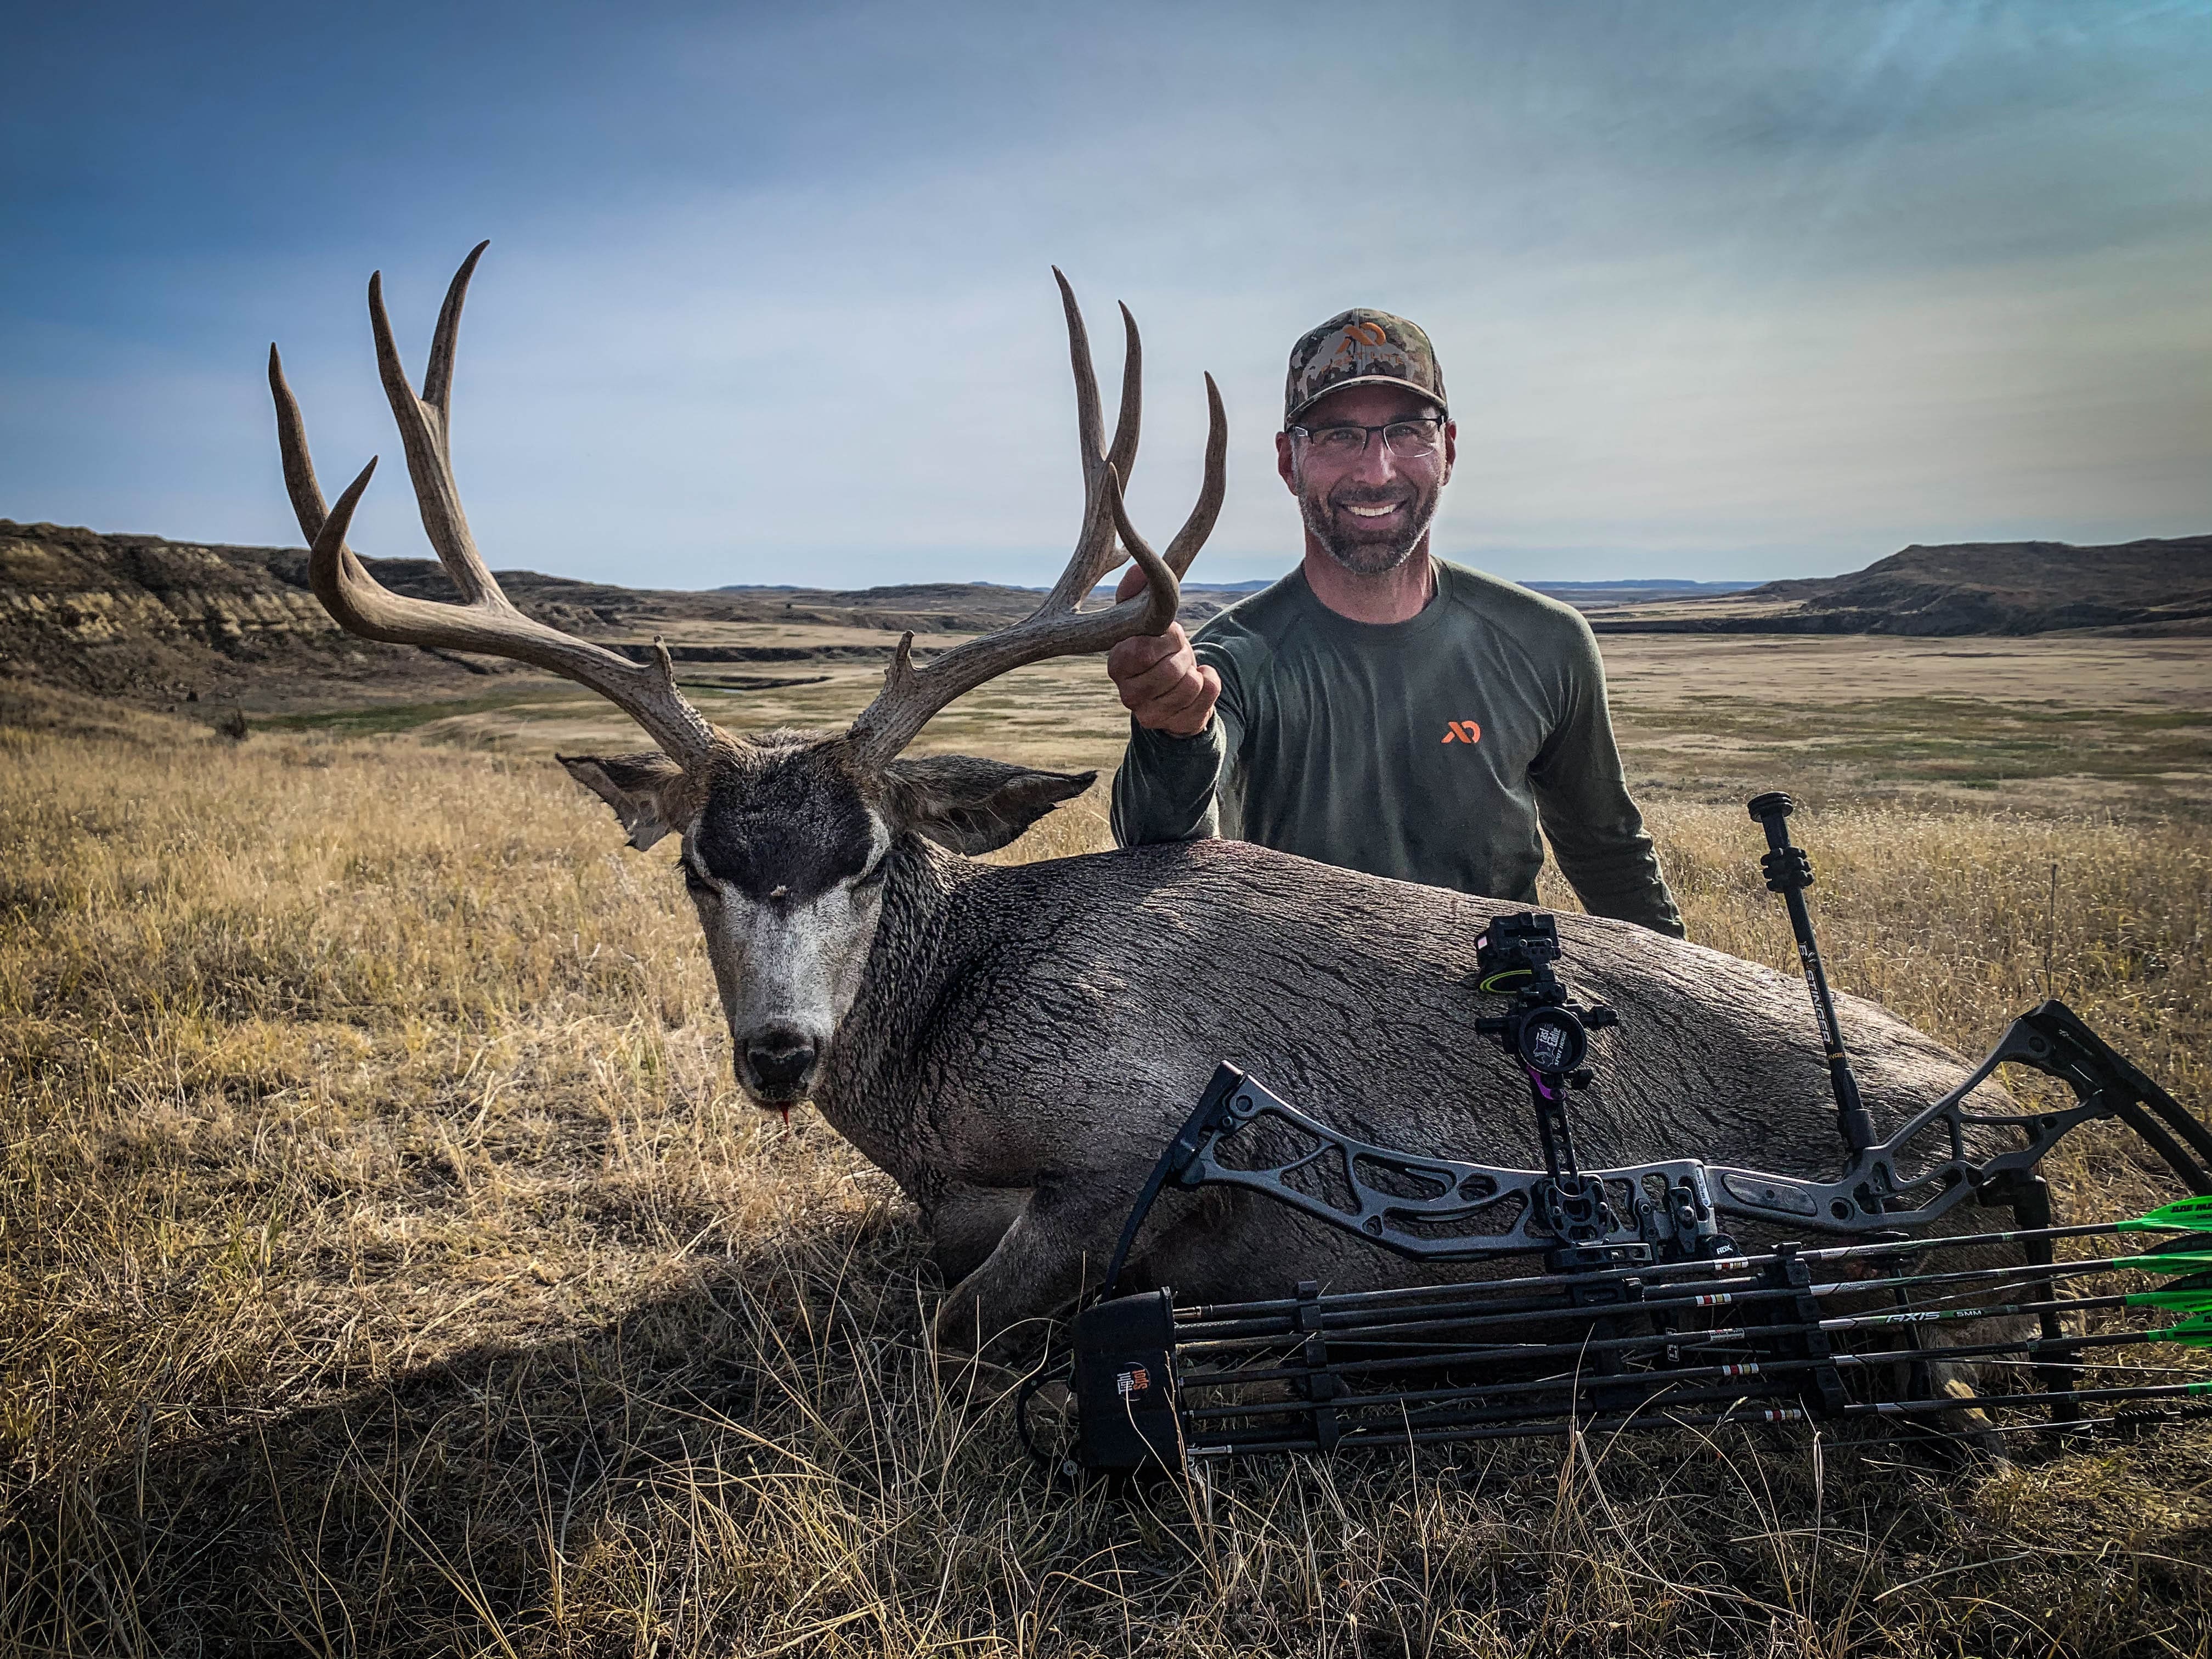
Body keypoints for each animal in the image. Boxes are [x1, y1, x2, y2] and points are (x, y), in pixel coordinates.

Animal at [270, 246, 2024, 1352]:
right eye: (700, 866)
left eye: (874, 859)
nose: (776, 1053)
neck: (944, 1052)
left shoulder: (1140, 1136)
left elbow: (957, 1325)